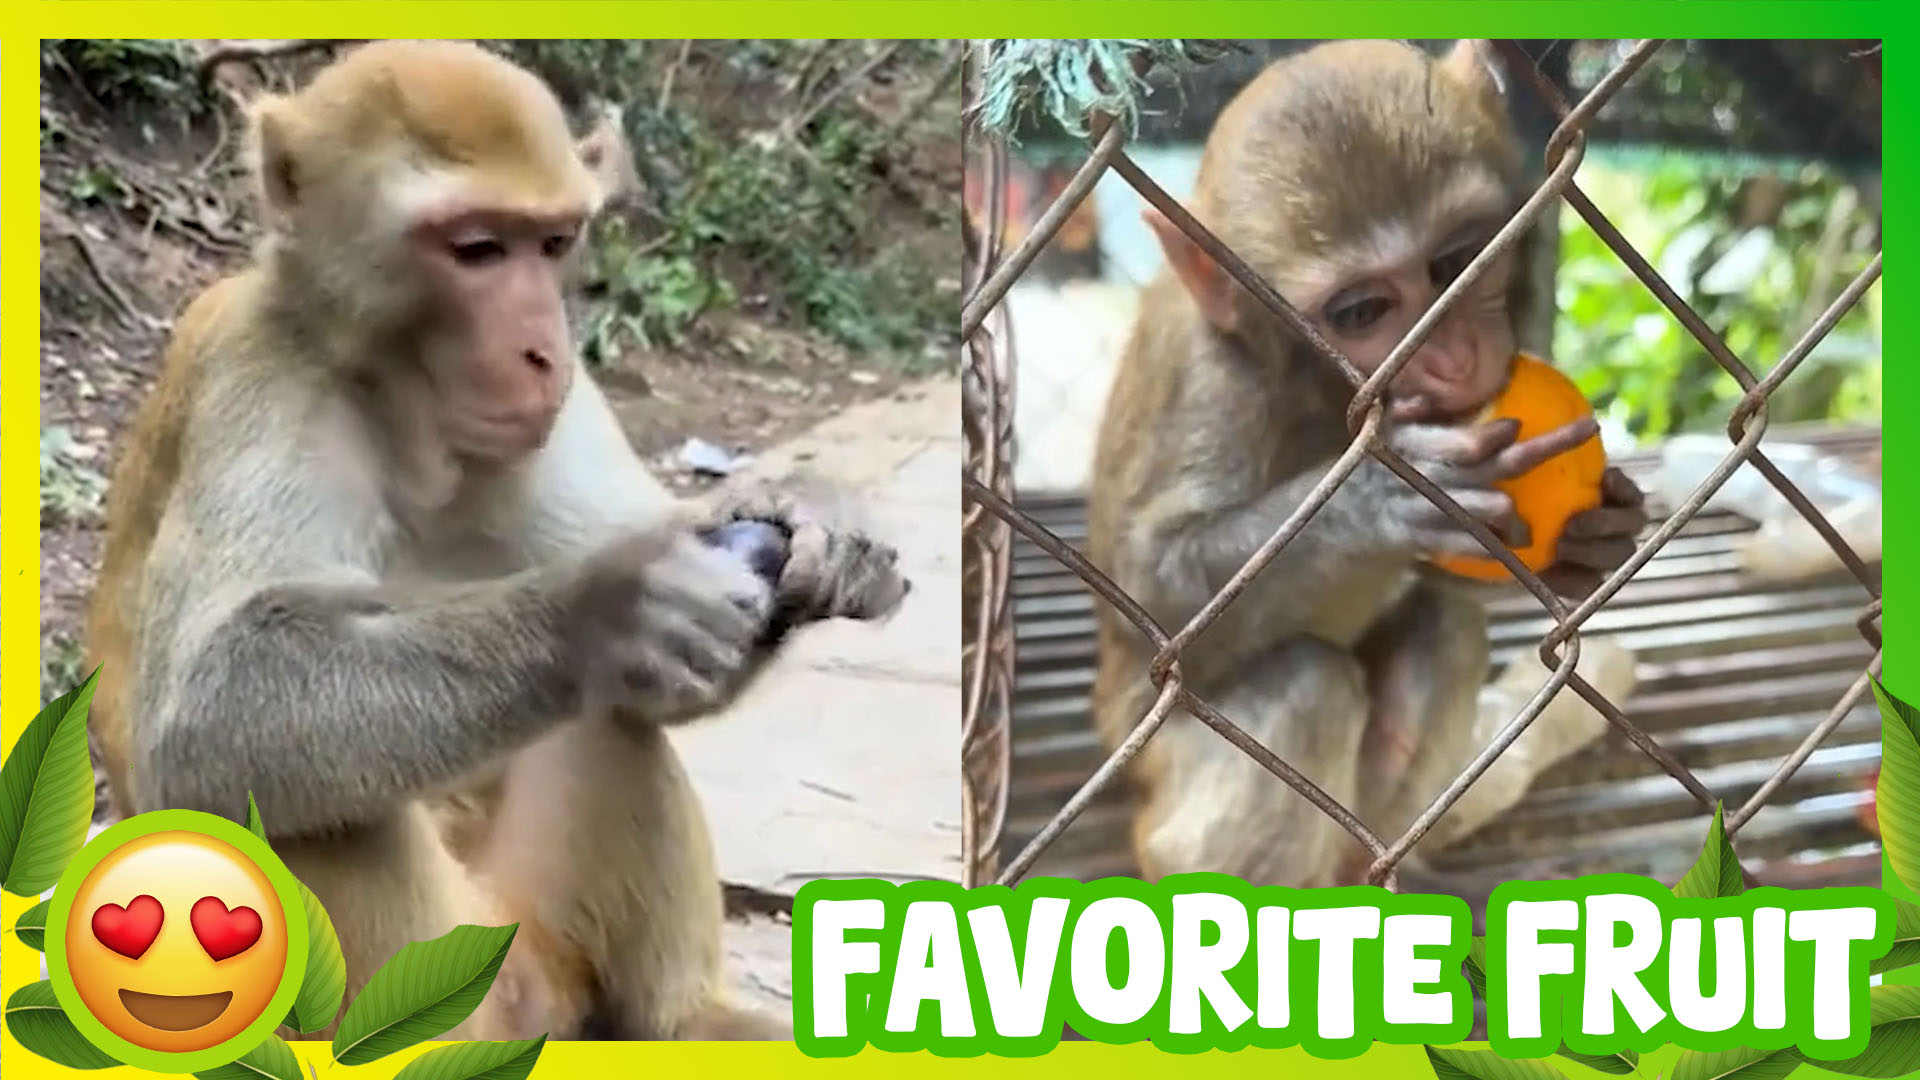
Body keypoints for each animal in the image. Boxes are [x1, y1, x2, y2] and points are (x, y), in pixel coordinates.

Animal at [83, 40, 910, 1042]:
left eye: (552, 243)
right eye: (476, 249)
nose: (542, 352)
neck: (407, 412)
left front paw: (807, 522)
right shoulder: (257, 374)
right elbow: (203, 716)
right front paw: (608, 609)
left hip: (545, 938)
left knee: (603, 717)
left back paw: (681, 1021)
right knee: (305, 800)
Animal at [1084, 39, 1651, 892]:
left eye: (1454, 264)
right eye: (1360, 313)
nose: (1452, 355)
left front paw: (1591, 545)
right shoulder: (1209, 374)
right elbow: (1150, 586)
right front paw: (1371, 500)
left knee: (1444, 628)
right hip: (1161, 825)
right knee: (1305, 688)